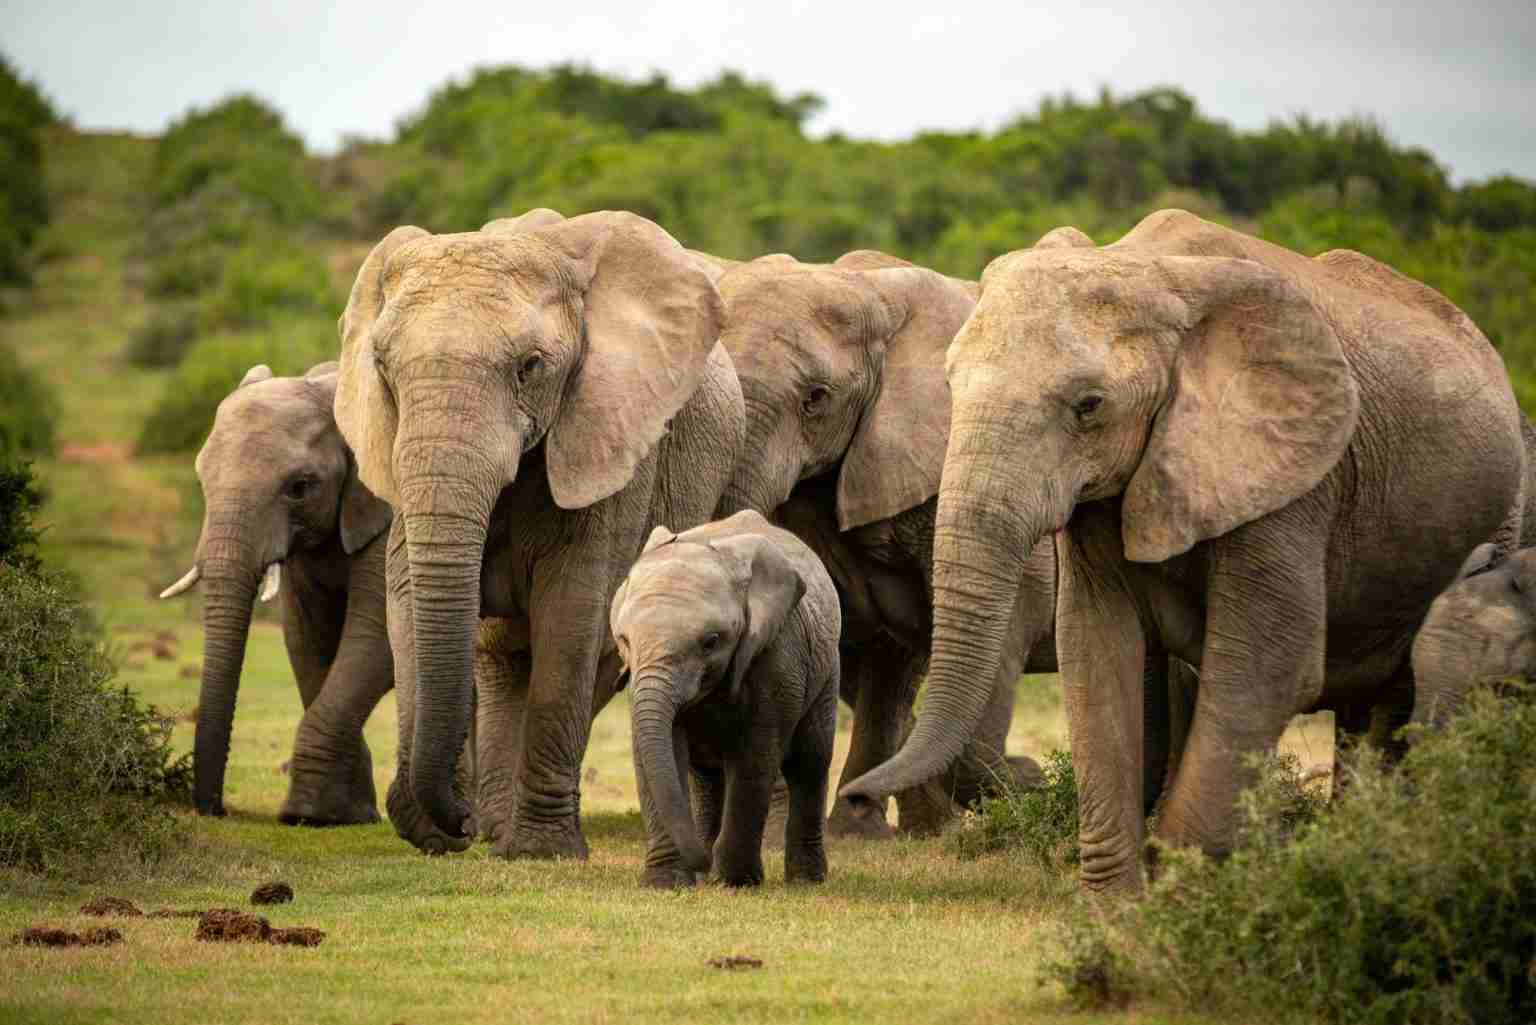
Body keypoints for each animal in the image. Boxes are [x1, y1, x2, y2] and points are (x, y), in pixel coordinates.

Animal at [160, 361, 394, 823]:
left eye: (300, 487)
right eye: (202, 480)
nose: (215, 809)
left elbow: (377, 636)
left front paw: (310, 813)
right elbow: (307, 641)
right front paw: (343, 816)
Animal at [334, 208, 744, 858]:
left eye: (531, 367)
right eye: (382, 368)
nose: (459, 822)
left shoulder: (609, 439)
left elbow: (572, 611)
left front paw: (543, 850)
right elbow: (406, 599)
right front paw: (440, 831)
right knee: (500, 657)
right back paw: (498, 830)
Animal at [611, 509, 839, 889]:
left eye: (711, 642)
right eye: (624, 640)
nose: (702, 864)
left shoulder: (778, 657)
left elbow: (754, 757)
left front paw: (736, 881)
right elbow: (654, 755)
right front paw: (665, 883)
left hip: (827, 668)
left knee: (810, 761)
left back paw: (806, 881)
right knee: (705, 774)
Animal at [709, 248, 1057, 838]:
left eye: (816, 399)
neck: (871, 290)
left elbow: (1004, 611)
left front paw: (1025, 781)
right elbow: (876, 649)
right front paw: (862, 830)